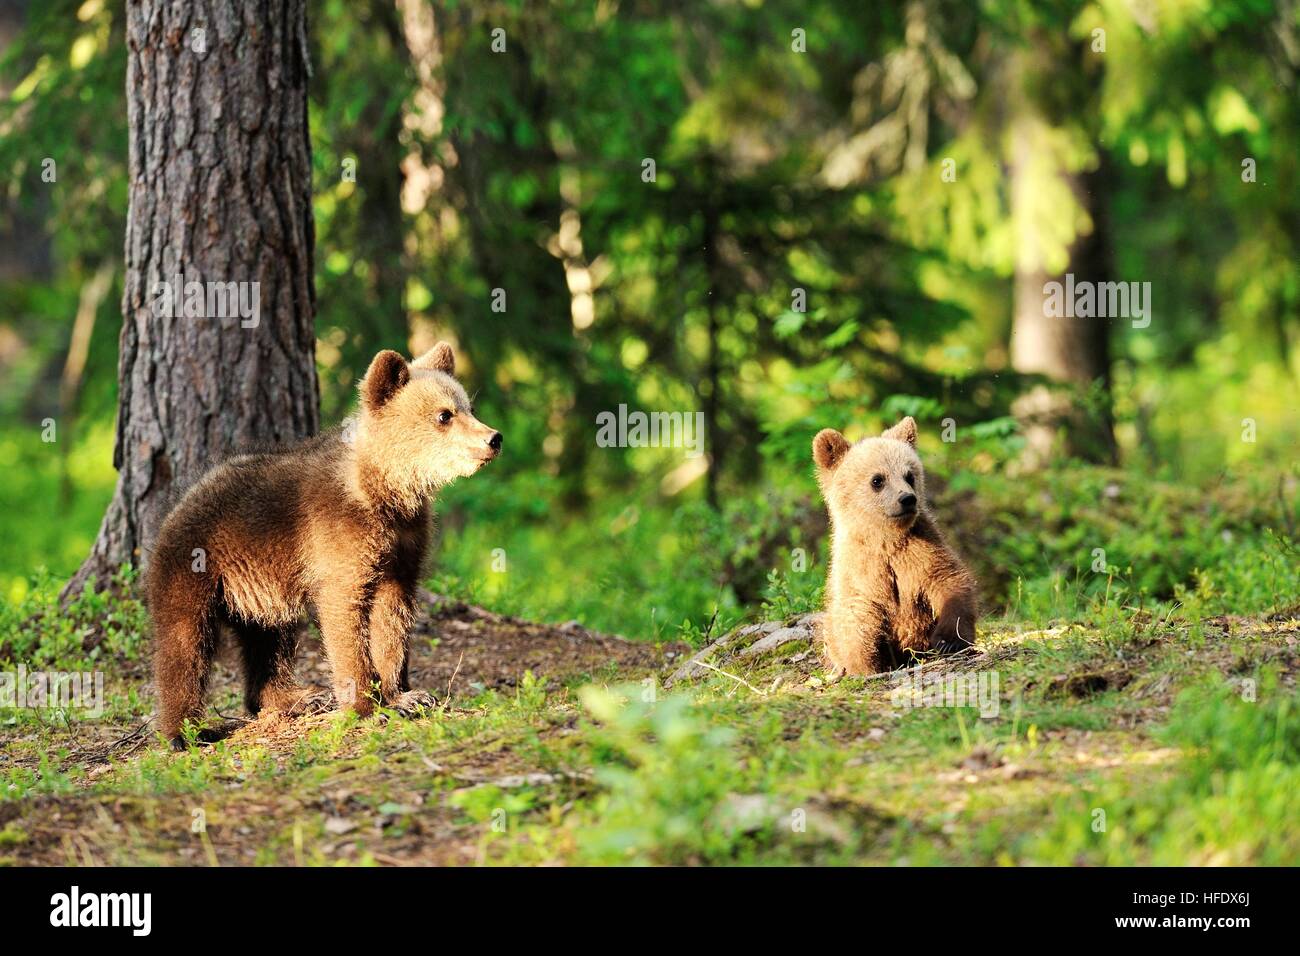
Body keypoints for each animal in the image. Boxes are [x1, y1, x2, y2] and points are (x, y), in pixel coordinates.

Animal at [147, 343, 501, 748]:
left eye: (467, 406)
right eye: (444, 415)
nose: (493, 438)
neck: (385, 492)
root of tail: (180, 500)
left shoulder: (404, 544)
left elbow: (393, 618)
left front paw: (405, 695)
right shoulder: (340, 537)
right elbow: (344, 614)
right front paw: (367, 707)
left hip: (260, 588)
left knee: (269, 639)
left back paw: (295, 697)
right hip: (196, 564)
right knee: (185, 642)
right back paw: (185, 730)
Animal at [812, 416, 977, 675]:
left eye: (909, 475)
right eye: (877, 479)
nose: (907, 499)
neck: (886, 538)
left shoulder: (921, 551)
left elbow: (950, 582)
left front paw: (949, 641)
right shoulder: (862, 569)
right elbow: (857, 613)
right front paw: (865, 664)